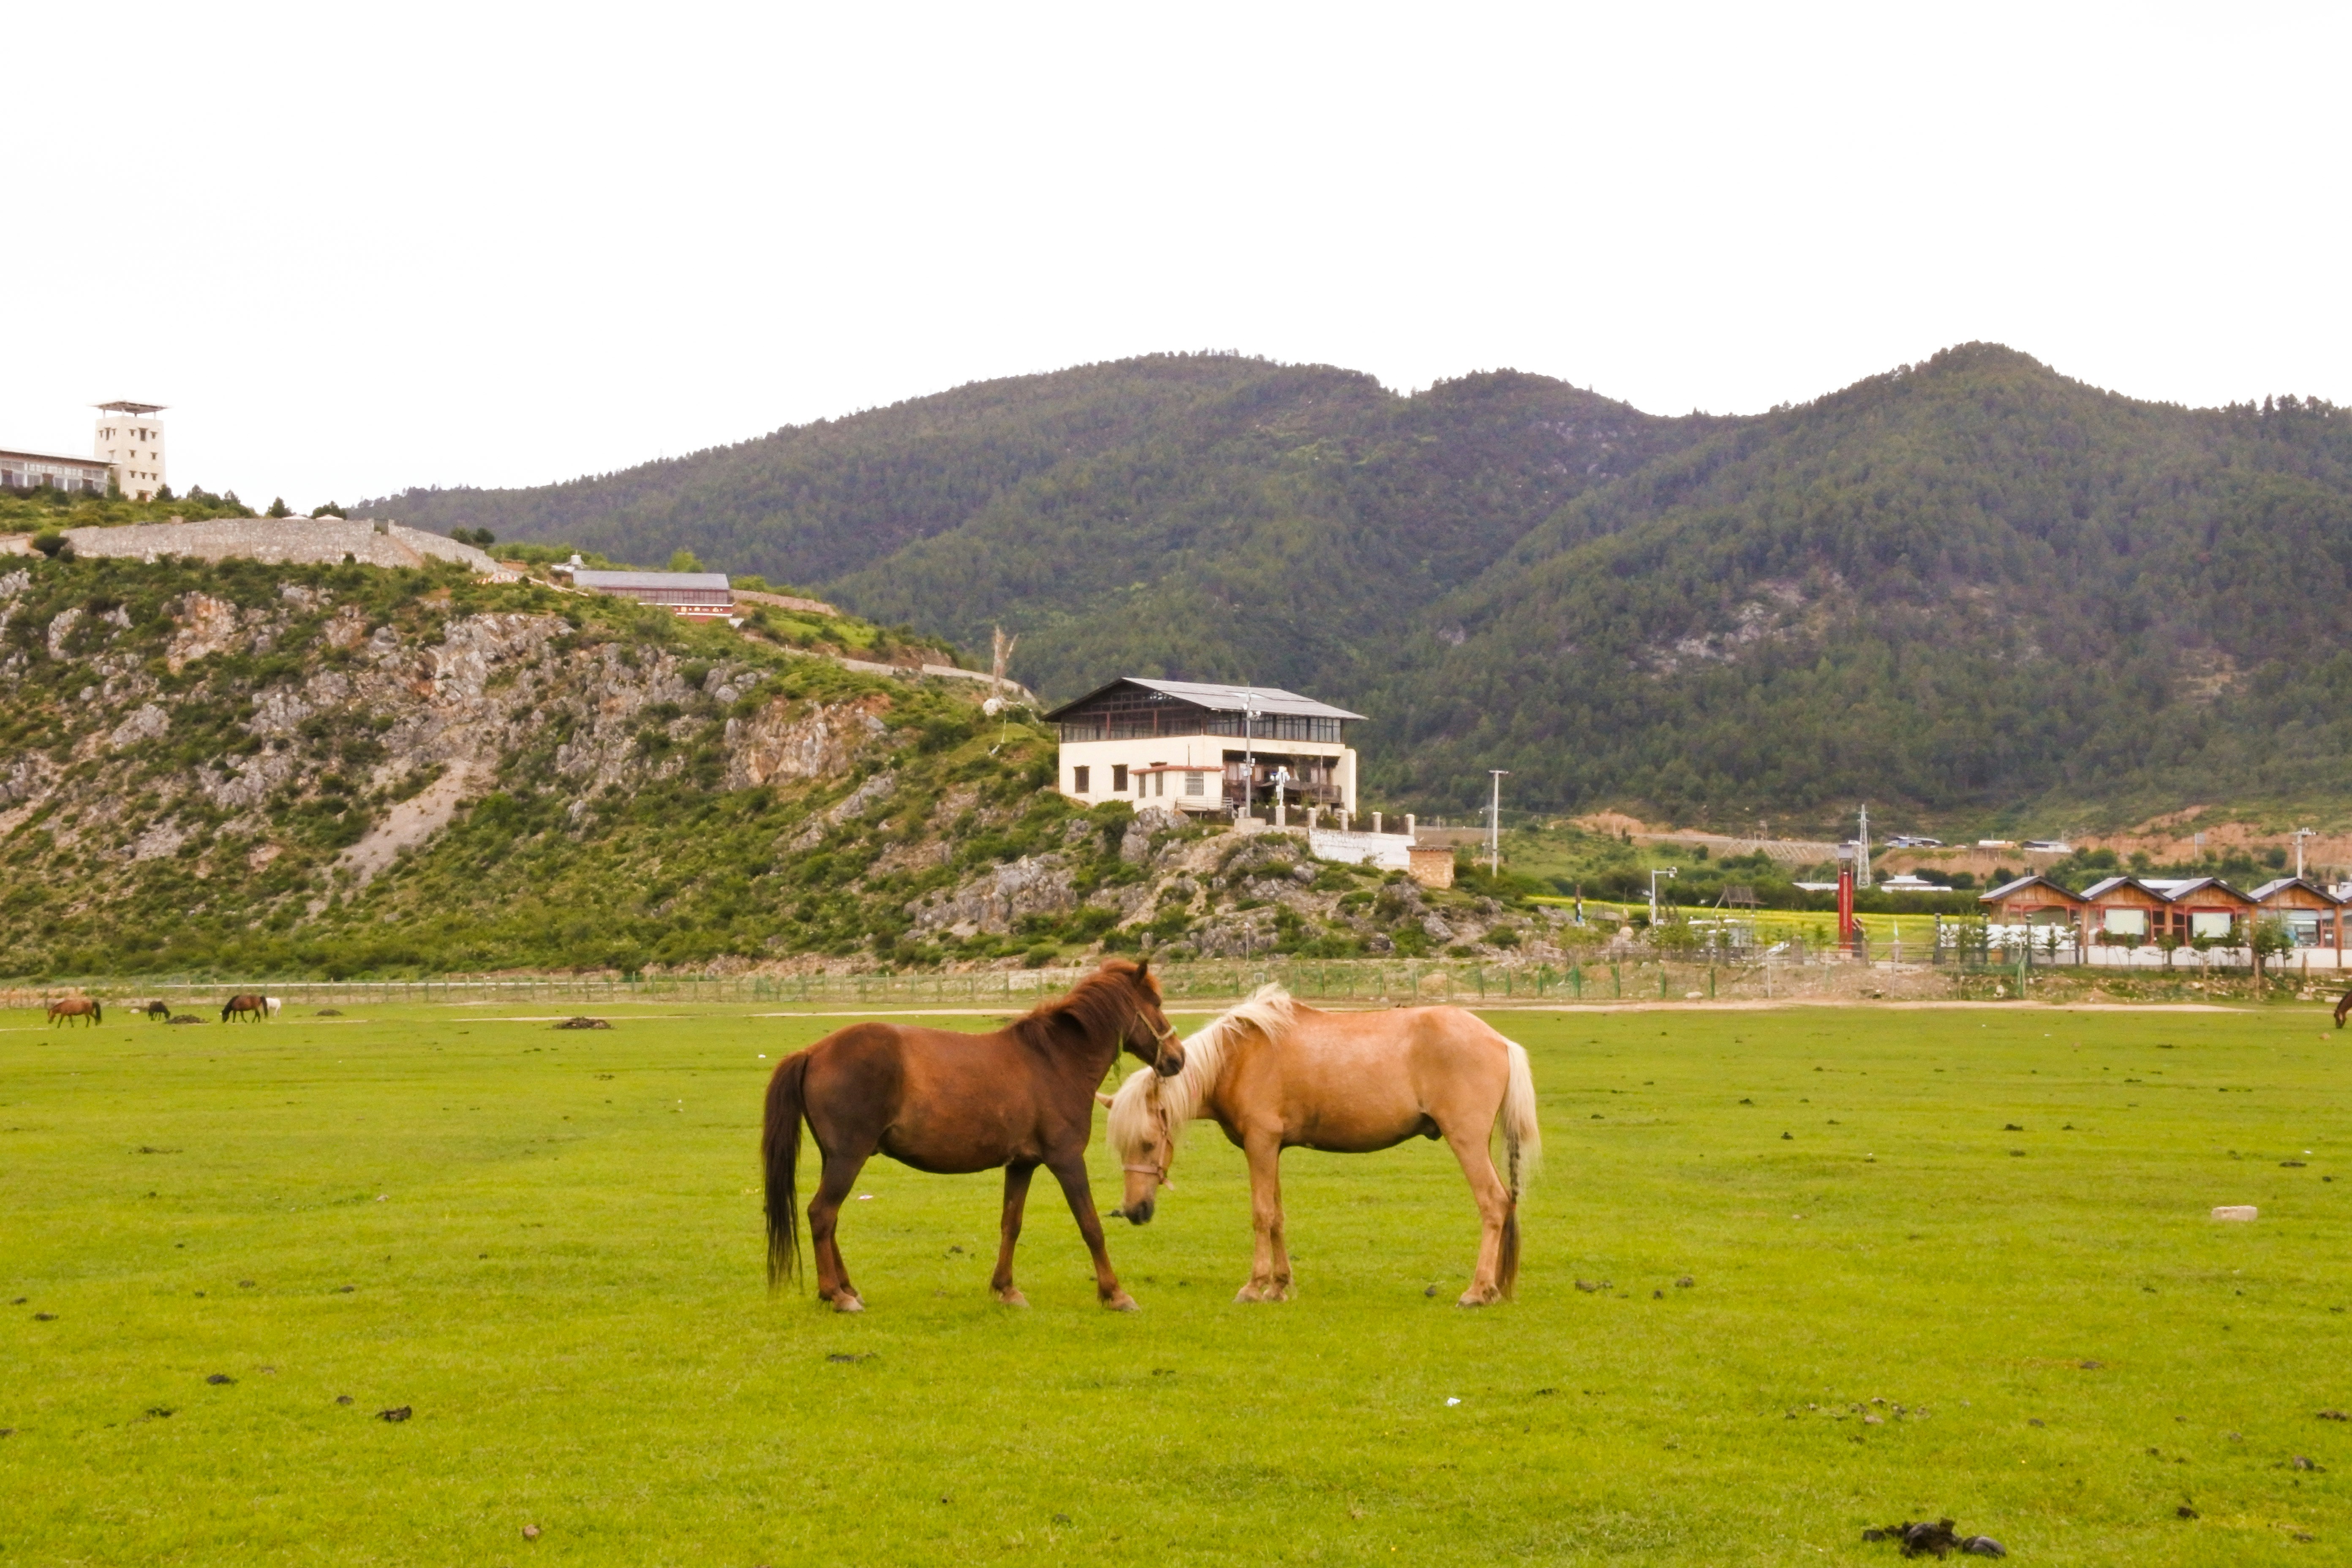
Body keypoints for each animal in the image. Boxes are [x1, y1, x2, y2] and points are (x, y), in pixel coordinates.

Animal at [47, 998, 102, 1027]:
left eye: (50, 1015)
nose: (49, 1022)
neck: (62, 1006)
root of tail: (92, 1002)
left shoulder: (63, 1014)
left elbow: (61, 1020)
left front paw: (58, 1027)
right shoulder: (69, 1015)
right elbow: (71, 1020)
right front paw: (72, 1026)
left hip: (87, 1013)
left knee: (89, 1019)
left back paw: (87, 1026)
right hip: (90, 1013)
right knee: (95, 1017)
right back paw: (96, 1024)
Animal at [762, 957, 1184, 1314]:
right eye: (1157, 1003)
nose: (1177, 1059)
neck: (1054, 1061)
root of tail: (812, 1052)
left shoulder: (1022, 1165)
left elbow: (1011, 1225)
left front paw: (1006, 1289)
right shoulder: (1066, 1160)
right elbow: (1091, 1226)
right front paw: (1115, 1294)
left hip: (836, 1159)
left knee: (829, 1219)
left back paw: (846, 1289)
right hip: (849, 1158)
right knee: (822, 1214)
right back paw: (836, 1295)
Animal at [1104, 984, 1540, 1307]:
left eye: (1148, 1144)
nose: (1134, 1211)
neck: (1238, 1057)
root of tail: (1499, 1040)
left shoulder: (1260, 1144)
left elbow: (1261, 1214)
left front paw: (1254, 1286)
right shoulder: (1271, 1149)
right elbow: (1277, 1216)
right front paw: (1278, 1286)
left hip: (1466, 1141)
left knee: (1493, 1203)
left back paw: (1478, 1291)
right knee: (1506, 1202)